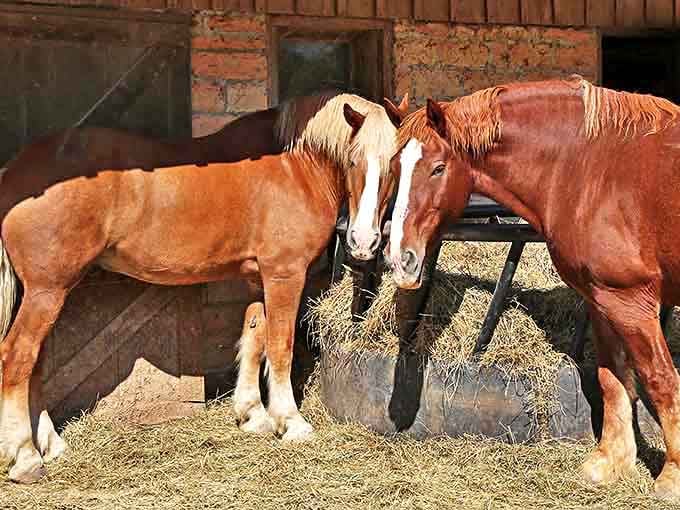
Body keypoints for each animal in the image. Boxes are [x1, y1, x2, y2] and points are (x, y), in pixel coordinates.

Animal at [0, 90, 408, 483]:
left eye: (395, 164)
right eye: (353, 161)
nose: (363, 242)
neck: (295, 167)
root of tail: (13, 172)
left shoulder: (256, 278)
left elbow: (255, 339)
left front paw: (253, 415)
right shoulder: (284, 274)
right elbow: (281, 346)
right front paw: (290, 422)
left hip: (42, 293)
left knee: (34, 365)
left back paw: (51, 445)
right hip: (47, 291)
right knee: (17, 358)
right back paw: (25, 457)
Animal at [387, 76, 680, 500]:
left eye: (438, 168)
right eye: (396, 167)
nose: (400, 259)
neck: (593, 166)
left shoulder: (631, 301)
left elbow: (660, 380)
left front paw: (671, 477)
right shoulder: (602, 300)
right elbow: (612, 377)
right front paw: (609, 462)